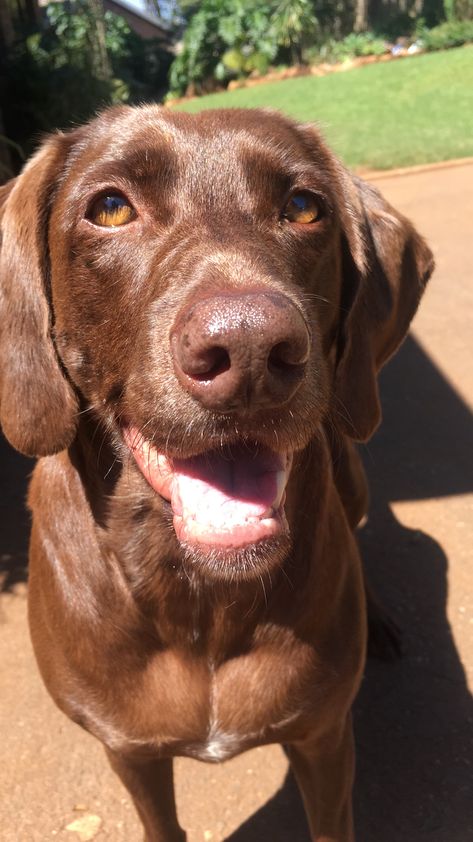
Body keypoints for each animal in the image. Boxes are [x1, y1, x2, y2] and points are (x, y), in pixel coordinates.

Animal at [0, 106, 432, 840]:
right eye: (110, 208)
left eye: (303, 206)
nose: (251, 348)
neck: (198, 597)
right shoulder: (129, 750)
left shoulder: (323, 739)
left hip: (353, 475)